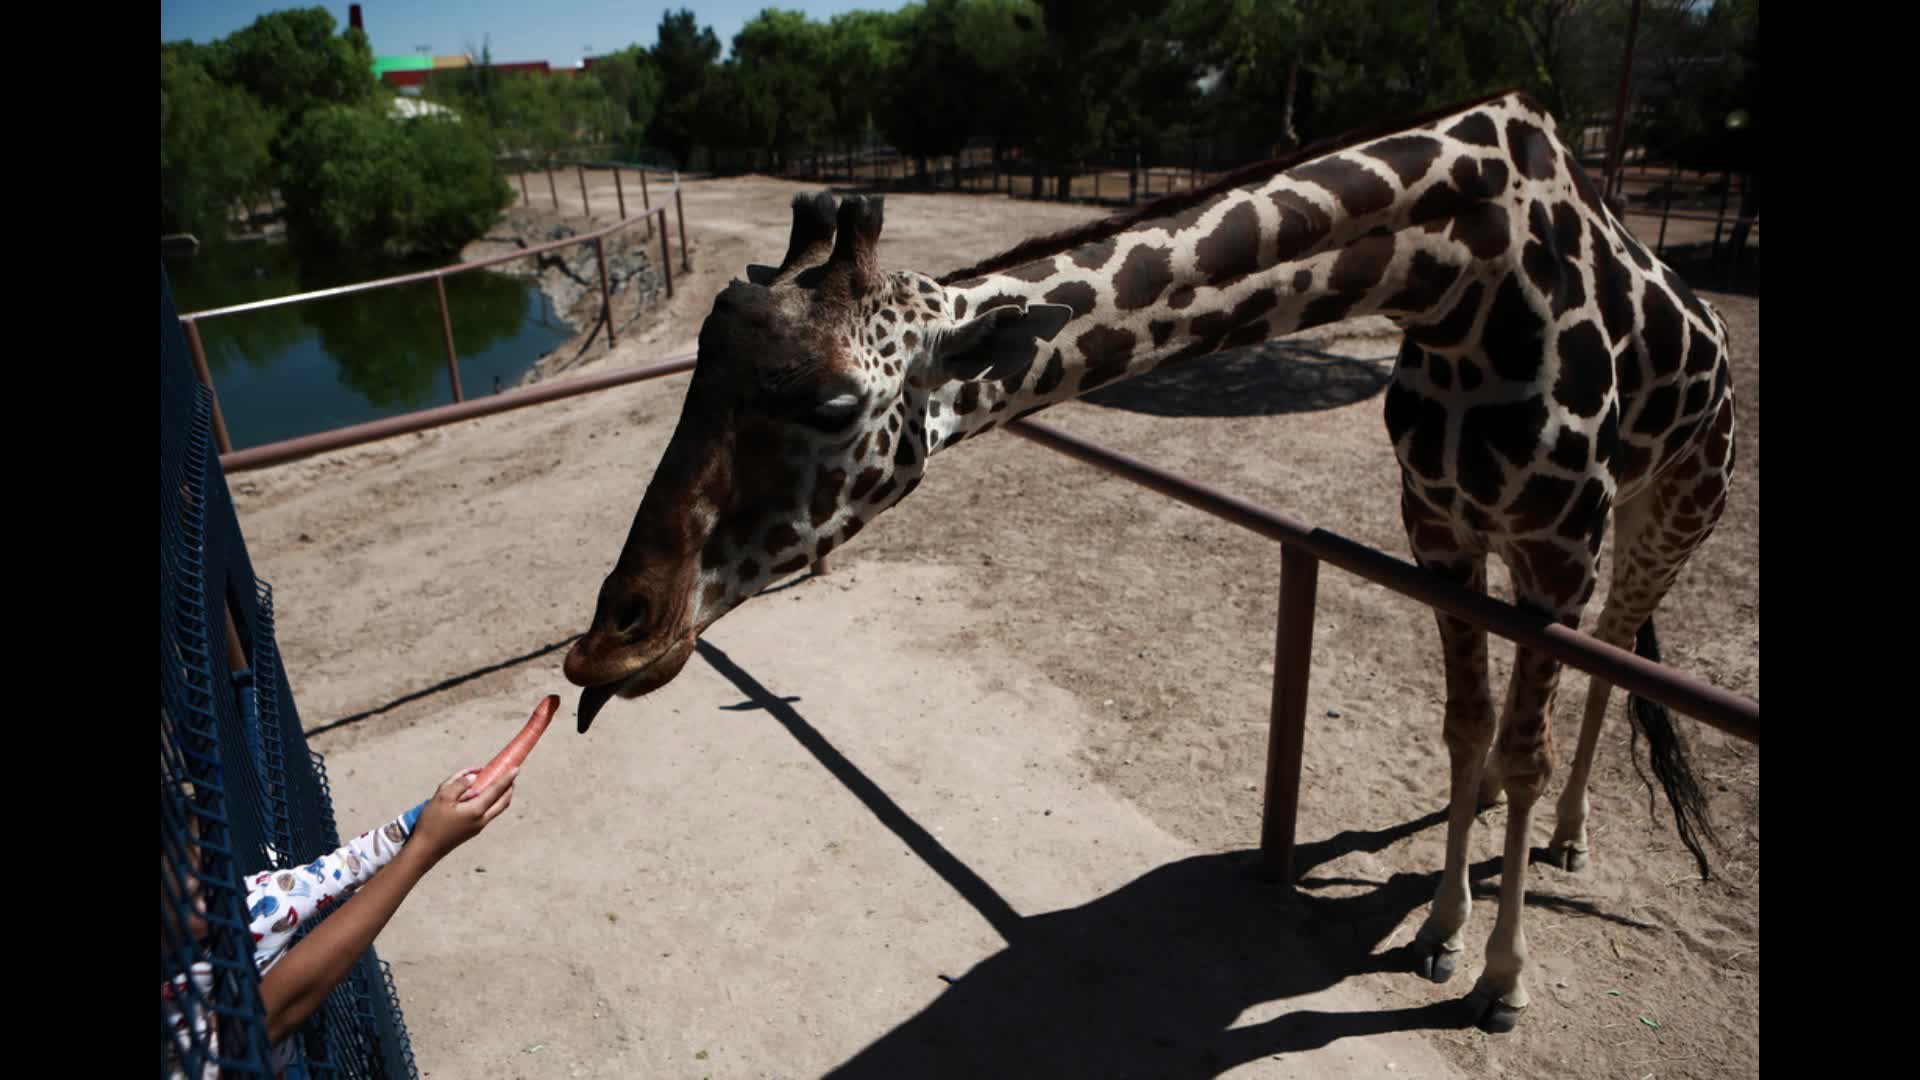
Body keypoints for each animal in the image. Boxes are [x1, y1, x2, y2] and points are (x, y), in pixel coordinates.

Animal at [562, 87, 1736, 1032]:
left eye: (836, 405)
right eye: (696, 370)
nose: (608, 644)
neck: (1460, 284)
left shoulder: (1556, 547)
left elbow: (1533, 740)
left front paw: (1498, 980)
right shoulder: (1437, 532)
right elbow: (1460, 728)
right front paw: (1444, 929)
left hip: (1663, 514)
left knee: (1616, 655)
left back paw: (1571, 838)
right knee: (1521, 714)